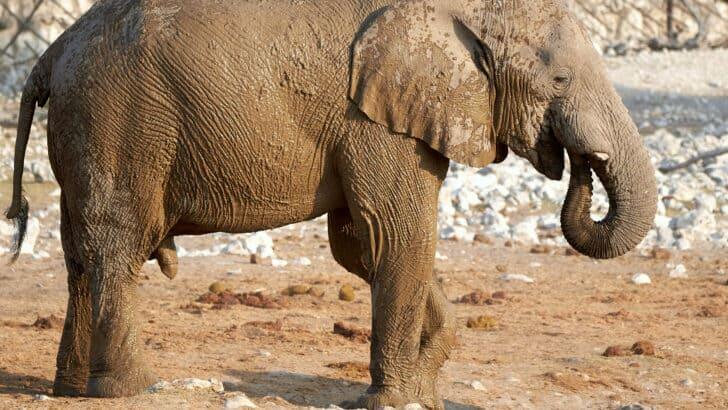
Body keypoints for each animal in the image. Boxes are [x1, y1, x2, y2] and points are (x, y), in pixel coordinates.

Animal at [5, 0, 657, 408]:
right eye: (560, 82)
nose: (580, 164)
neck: (459, 13)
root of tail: (49, 54)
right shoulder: (374, 118)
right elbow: (395, 231)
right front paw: (393, 402)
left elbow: (358, 244)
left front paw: (425, 388)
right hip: (117, 120)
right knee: (116, 246)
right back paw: (134, 389)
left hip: (84, 126)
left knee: (79, 255)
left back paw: (70, 389)